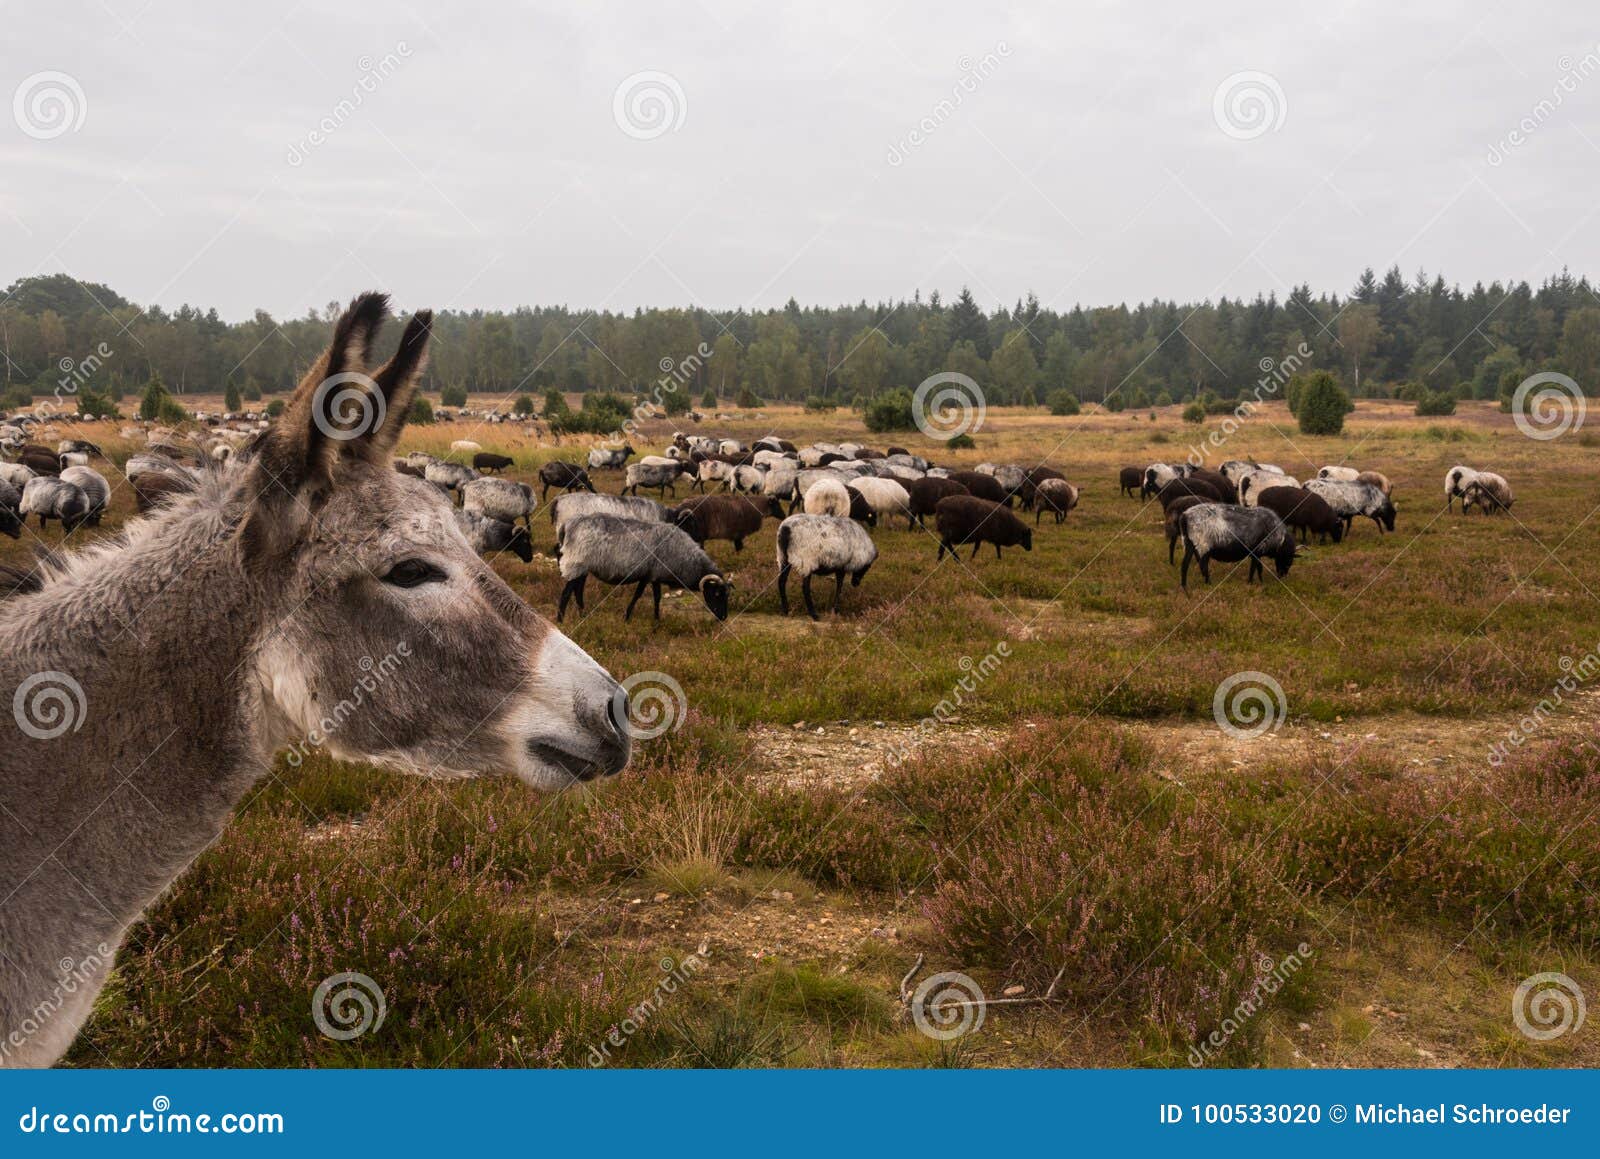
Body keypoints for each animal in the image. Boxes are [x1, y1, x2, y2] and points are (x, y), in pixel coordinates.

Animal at [556, 514, 729, 622]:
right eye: (717, 593)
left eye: (727, 595)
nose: (723, 617)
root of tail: (568, 526)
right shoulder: (649, 575)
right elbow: (640, 595)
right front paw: (629, 618)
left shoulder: (653, 576)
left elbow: (656, 597)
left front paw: (656, 619)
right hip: (576, 563)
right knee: (566, 592)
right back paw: (560, 620)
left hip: (583, 568)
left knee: (578, 591)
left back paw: (582, 615)